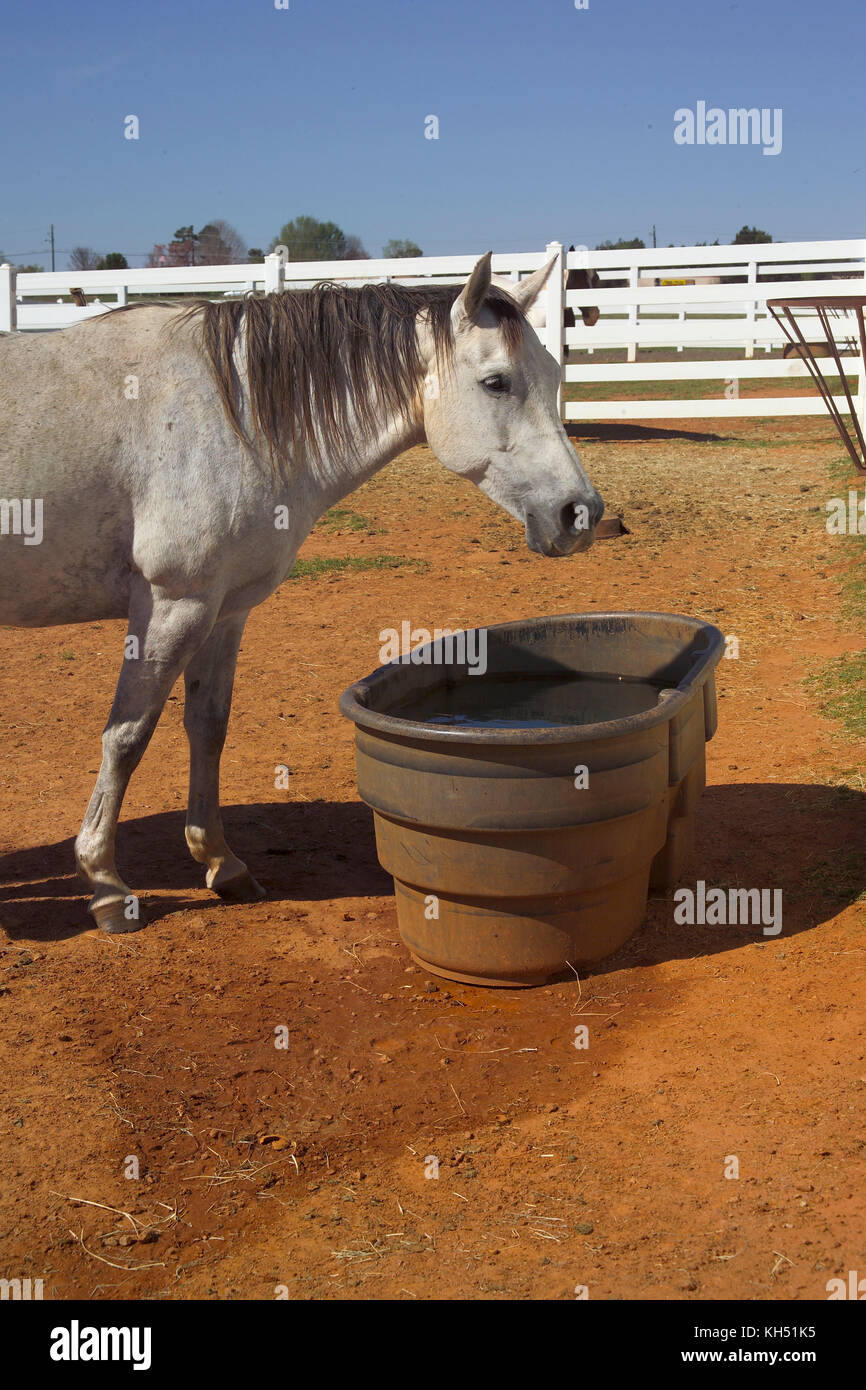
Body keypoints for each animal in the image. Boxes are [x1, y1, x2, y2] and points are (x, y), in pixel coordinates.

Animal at [0, 252, 604, 933]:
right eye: (497, 382)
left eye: (553, 373)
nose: (581, 514)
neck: (226, 412)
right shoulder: (172, 605)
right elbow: (126, 738)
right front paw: (105, 883)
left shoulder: (223, 611)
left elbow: (207, 727)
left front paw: (221, 863)